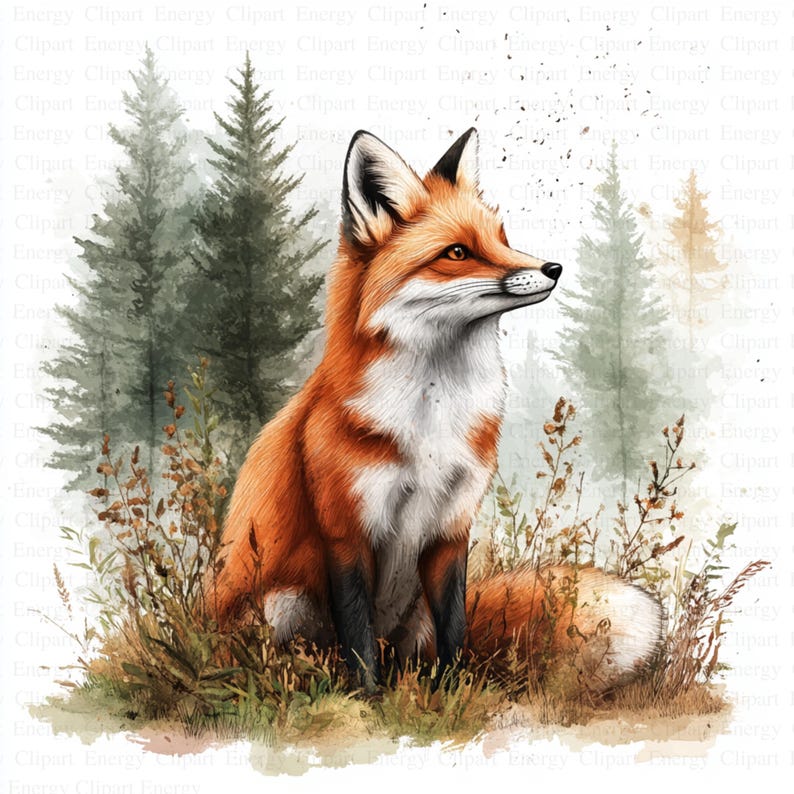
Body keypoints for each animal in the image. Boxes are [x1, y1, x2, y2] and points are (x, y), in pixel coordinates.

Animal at [211, 129, 662, 693]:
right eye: (457, 252)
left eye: (502, 237)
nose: (553, 268)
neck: (433, 418)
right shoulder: (346, 532)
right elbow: (358, 639)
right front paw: (367, 701)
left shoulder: (452, 529)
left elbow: (455, 627)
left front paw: (452, 691)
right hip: (281, 602)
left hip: (406, 618)